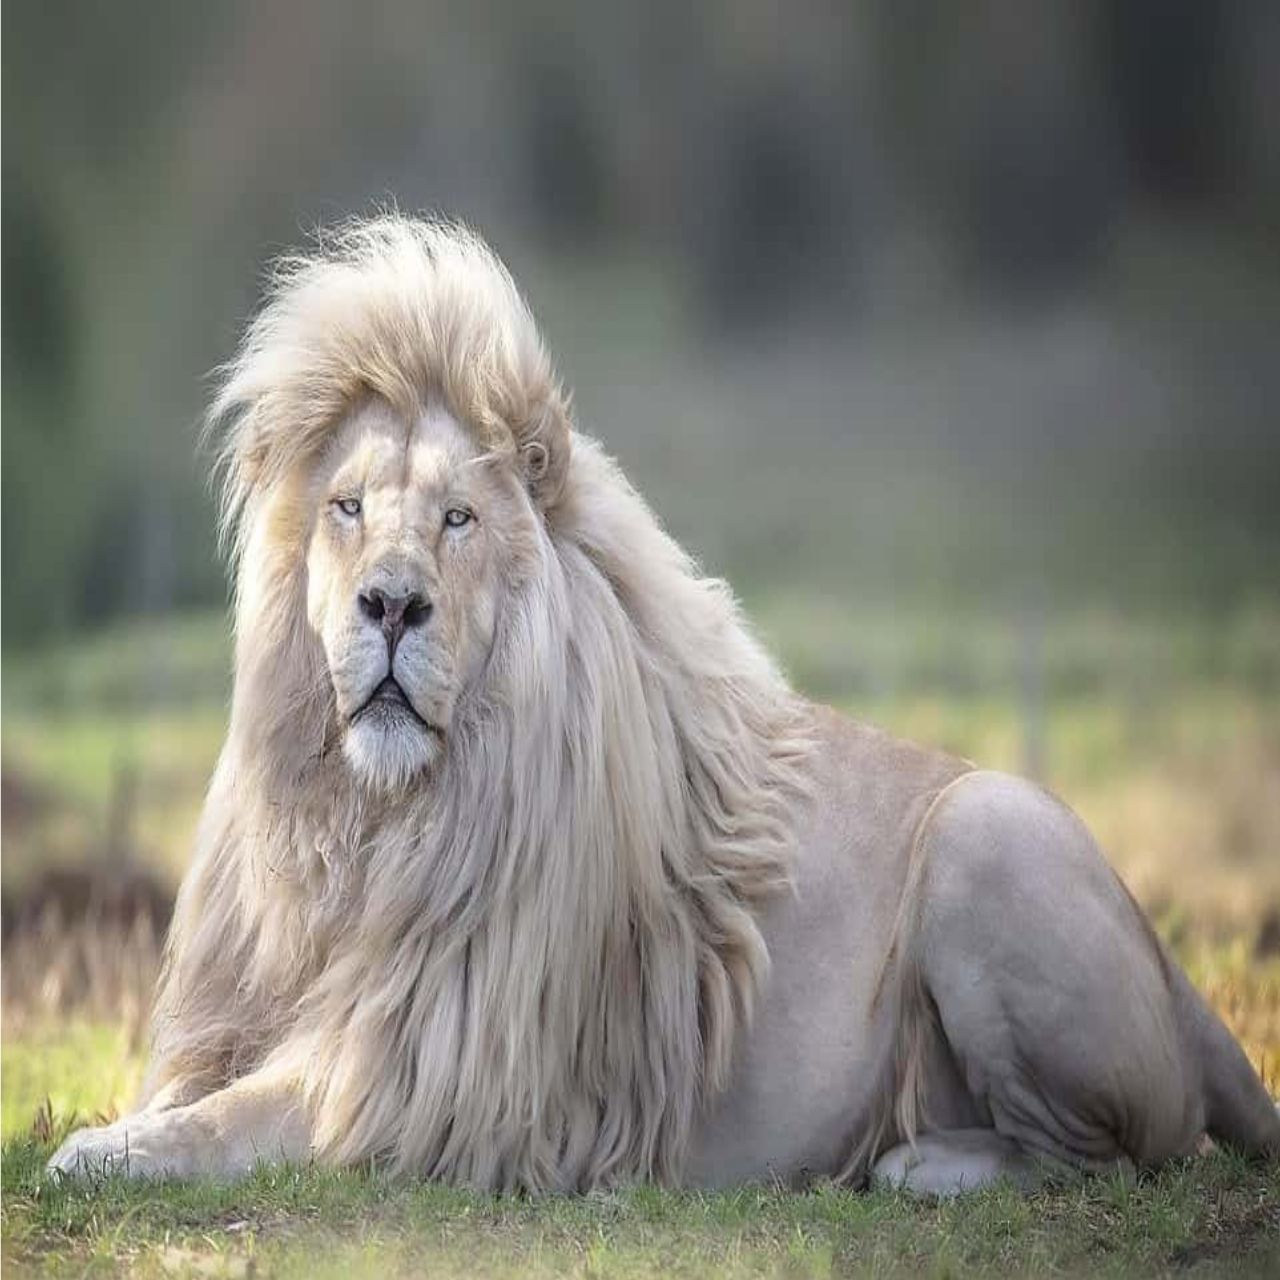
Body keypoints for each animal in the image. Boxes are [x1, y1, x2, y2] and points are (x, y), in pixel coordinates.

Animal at [50, 216, 1279, 1193]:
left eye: (456, 519)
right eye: (347, 506)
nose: (390, 604)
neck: (366, 822)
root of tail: (1171, 965)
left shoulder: (429, 1074)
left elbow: (223, 1123)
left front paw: (93, 1151)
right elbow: (195, 1093)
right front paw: (109, 1127)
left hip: (991, 832)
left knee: (1114, 1155)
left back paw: (919, 1163)